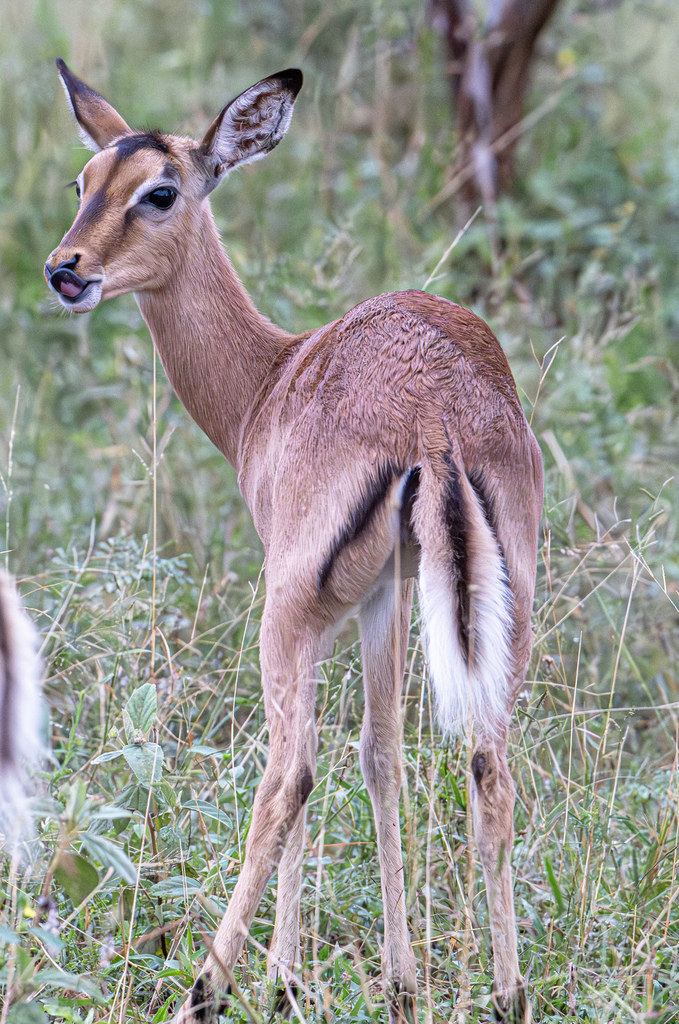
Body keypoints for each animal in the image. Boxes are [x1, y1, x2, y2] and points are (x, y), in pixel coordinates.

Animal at [45, 59, 543, 1024]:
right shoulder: (391, 589)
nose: (64, 270)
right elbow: (383, 757)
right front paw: (399, 979)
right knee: (486, 762)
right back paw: (505, 994)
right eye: (84, 182)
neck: (268, 383)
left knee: (287, 775)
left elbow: (320, 774)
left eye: (160, 190)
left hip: (282, 620)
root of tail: (434, 413)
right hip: (503, 613)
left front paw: (283, 977)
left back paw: (205, 987)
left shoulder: (311, 605)